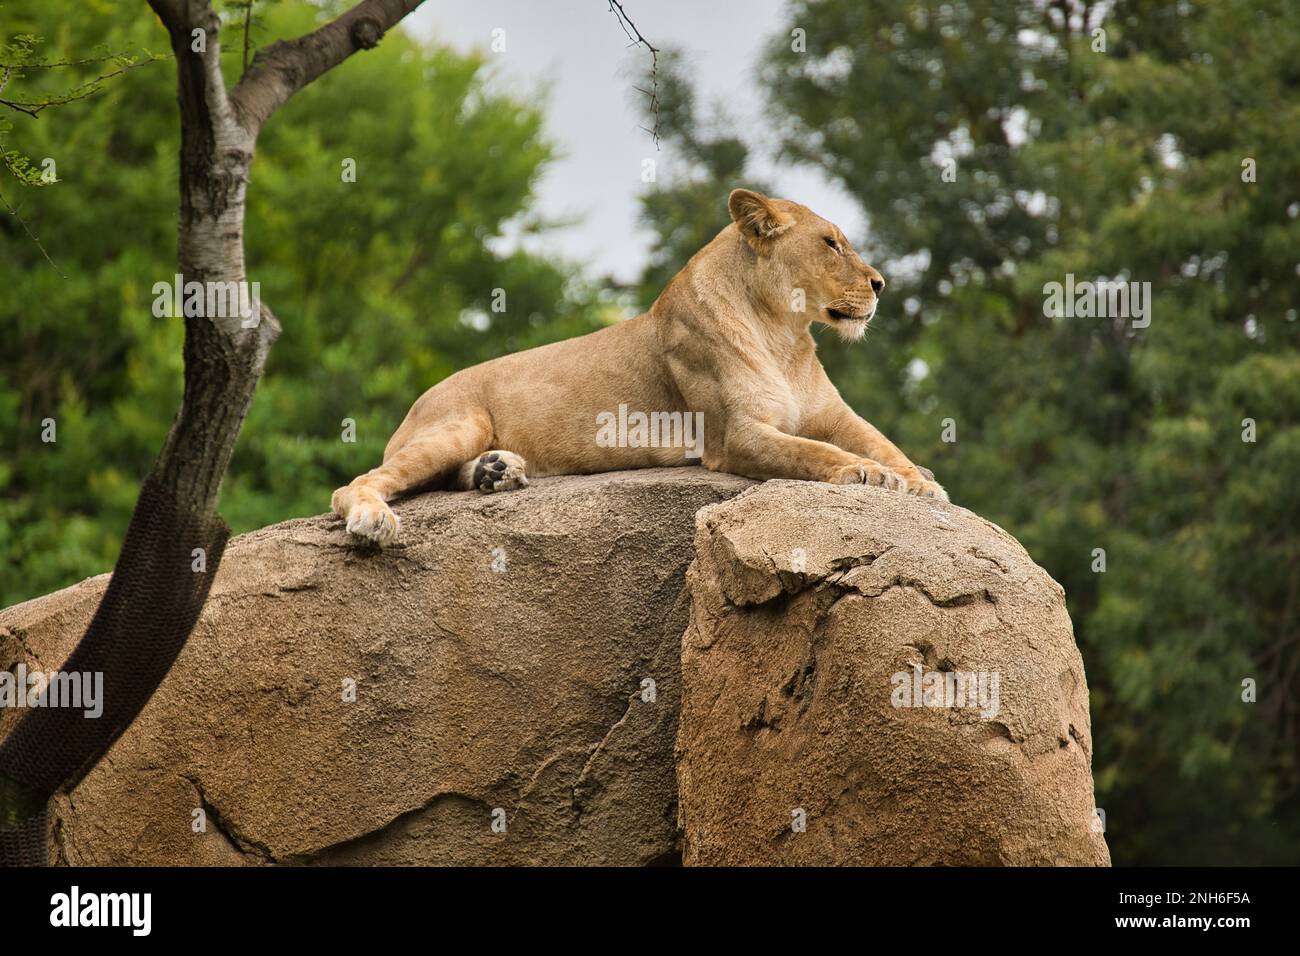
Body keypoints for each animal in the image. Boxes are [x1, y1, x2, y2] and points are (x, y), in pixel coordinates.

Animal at [332, 188, 948, 545]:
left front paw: (923, 483)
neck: (784, 333)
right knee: (357, 484)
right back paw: (374, 519)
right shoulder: (734, 435)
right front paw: (871, 476)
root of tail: (418, 403)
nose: (880, 285)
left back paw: (495, 472)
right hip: (457, 423)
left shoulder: (835, 415)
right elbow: (814, 453)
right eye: (830, 244)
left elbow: (883, 442)